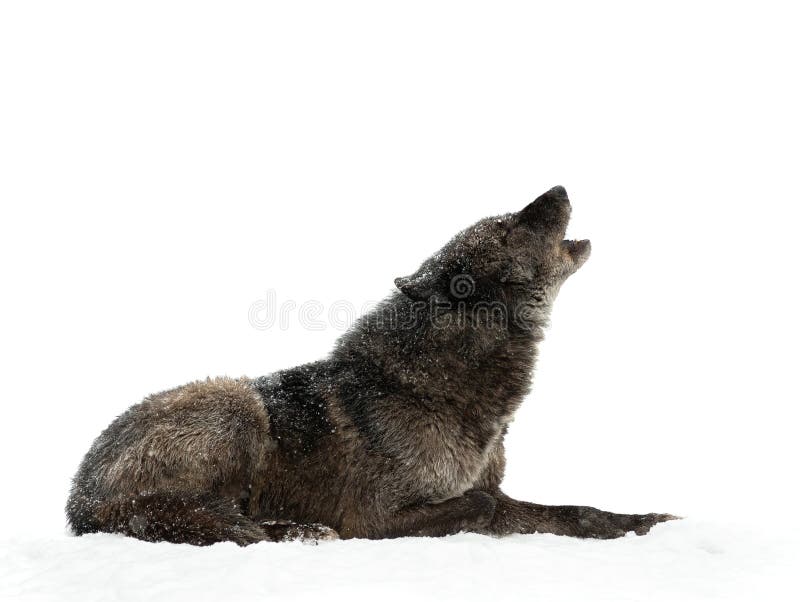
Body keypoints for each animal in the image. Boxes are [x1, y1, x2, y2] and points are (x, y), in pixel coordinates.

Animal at [66, 186, 676, 545]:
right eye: (509, 226)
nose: (559, 188)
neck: (432, 388)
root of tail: (79, 500)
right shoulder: (374, 516)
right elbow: (476, 505)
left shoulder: (500, 493)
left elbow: (572, 513)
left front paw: (644, 523)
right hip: (235, 407)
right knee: (203, 519)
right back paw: (293, 530)